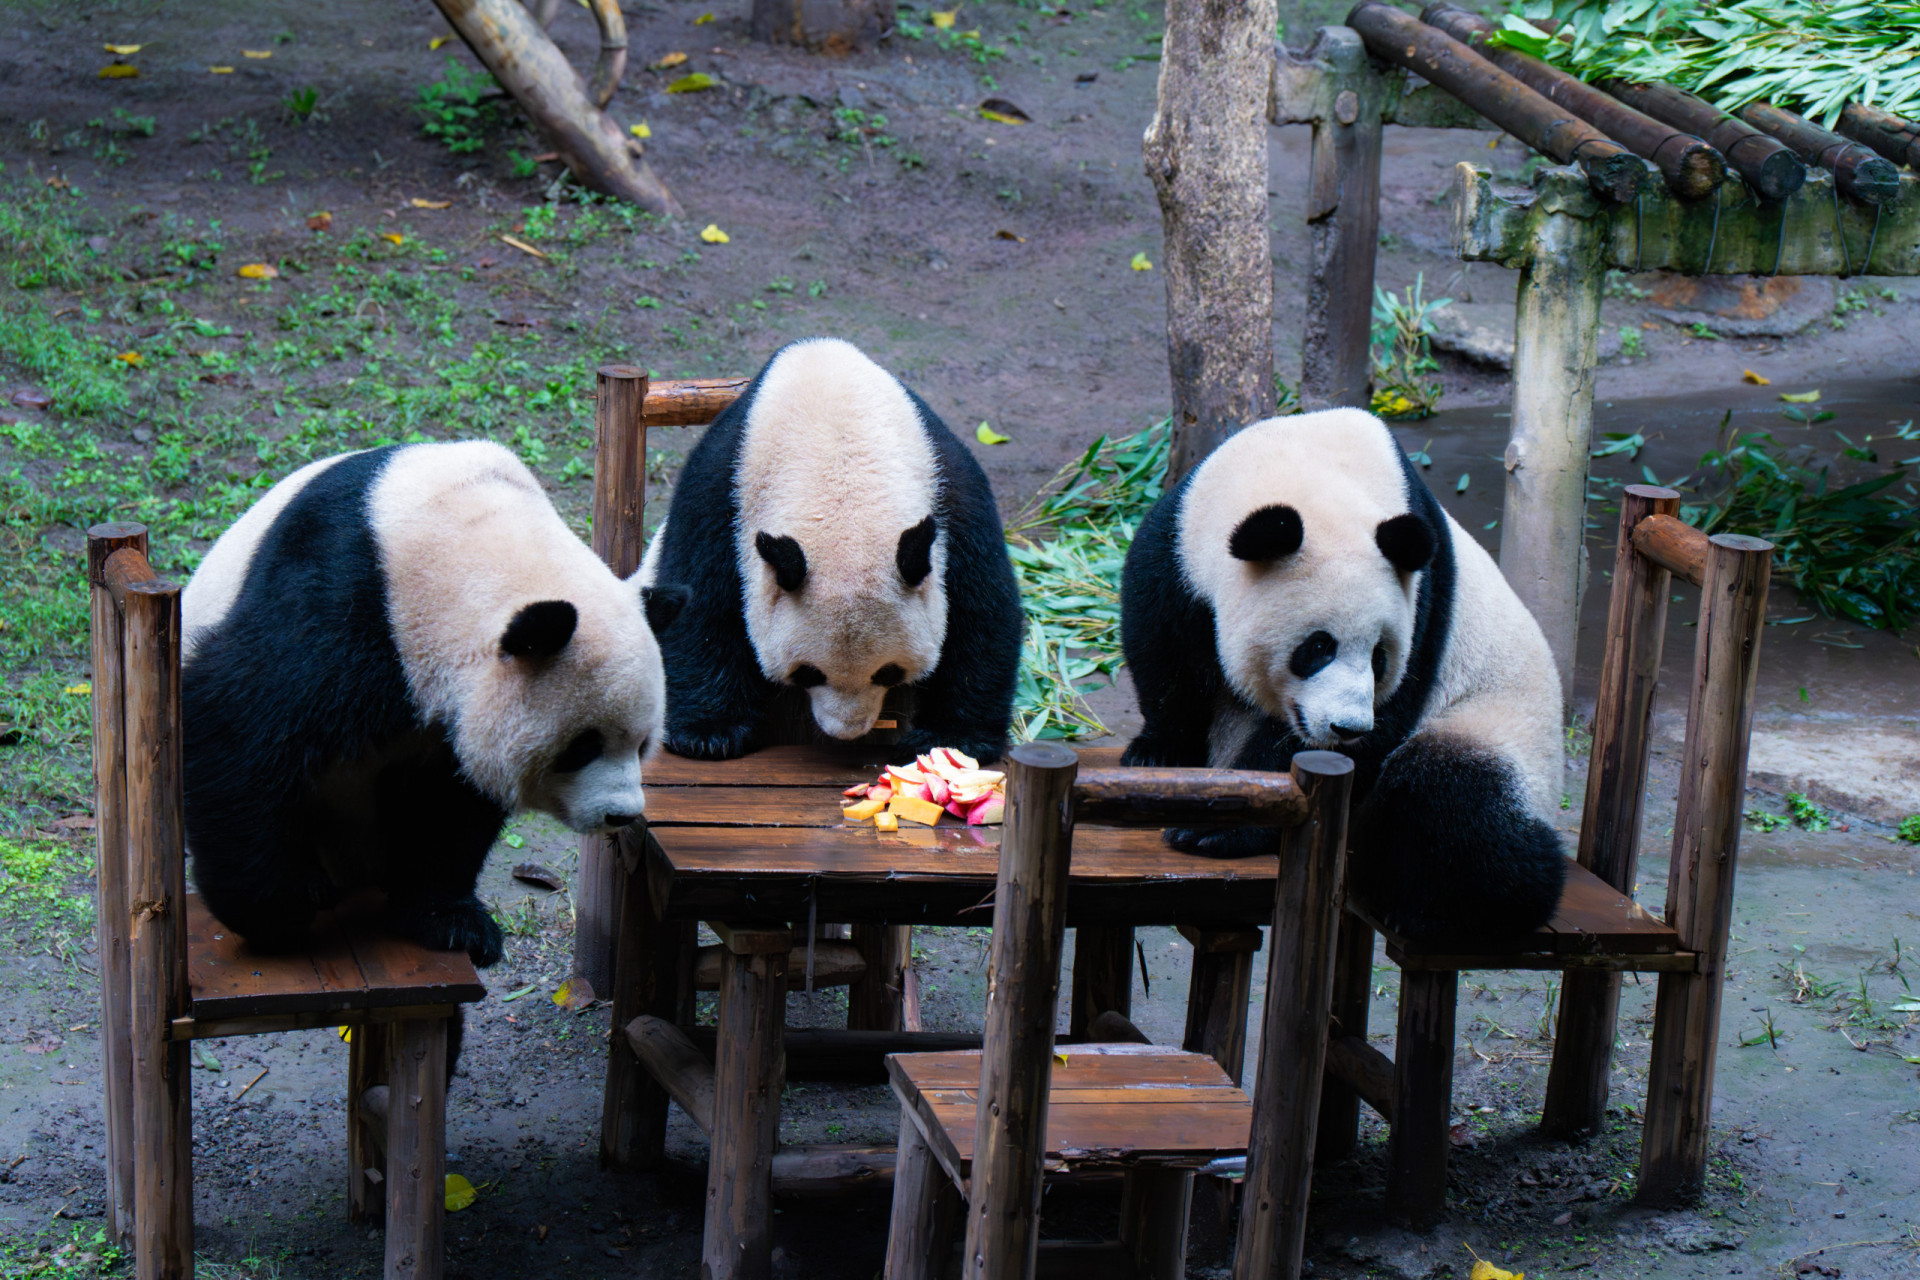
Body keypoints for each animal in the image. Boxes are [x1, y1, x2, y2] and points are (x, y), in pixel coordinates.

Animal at [181, 440, 686, 970]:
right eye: (583, 747)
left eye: (643, 744)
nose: (621, 813)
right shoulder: (341, 597)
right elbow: (237, 721)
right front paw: (278, 915)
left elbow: (453, 803)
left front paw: (449, 921)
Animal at [640, 338, 1023, 764]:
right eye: (808, 673)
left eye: (888, 672)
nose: (847, 731)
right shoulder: (722, 489)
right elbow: (699, 603)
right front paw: (711, 735)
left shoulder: (950, 489)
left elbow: (980, 612)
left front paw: (952, 738)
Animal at [1120, 408, 1566, 940]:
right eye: (1317, 647)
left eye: (1379, 657)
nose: (1346, 728)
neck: (1312, 471)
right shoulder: (1180, 541)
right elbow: (1160, 644)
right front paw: (1157, 756)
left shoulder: (1423, 602)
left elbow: (1378, 721)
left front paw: (1217, 827)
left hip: (1496, 723)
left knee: (1455, 801)